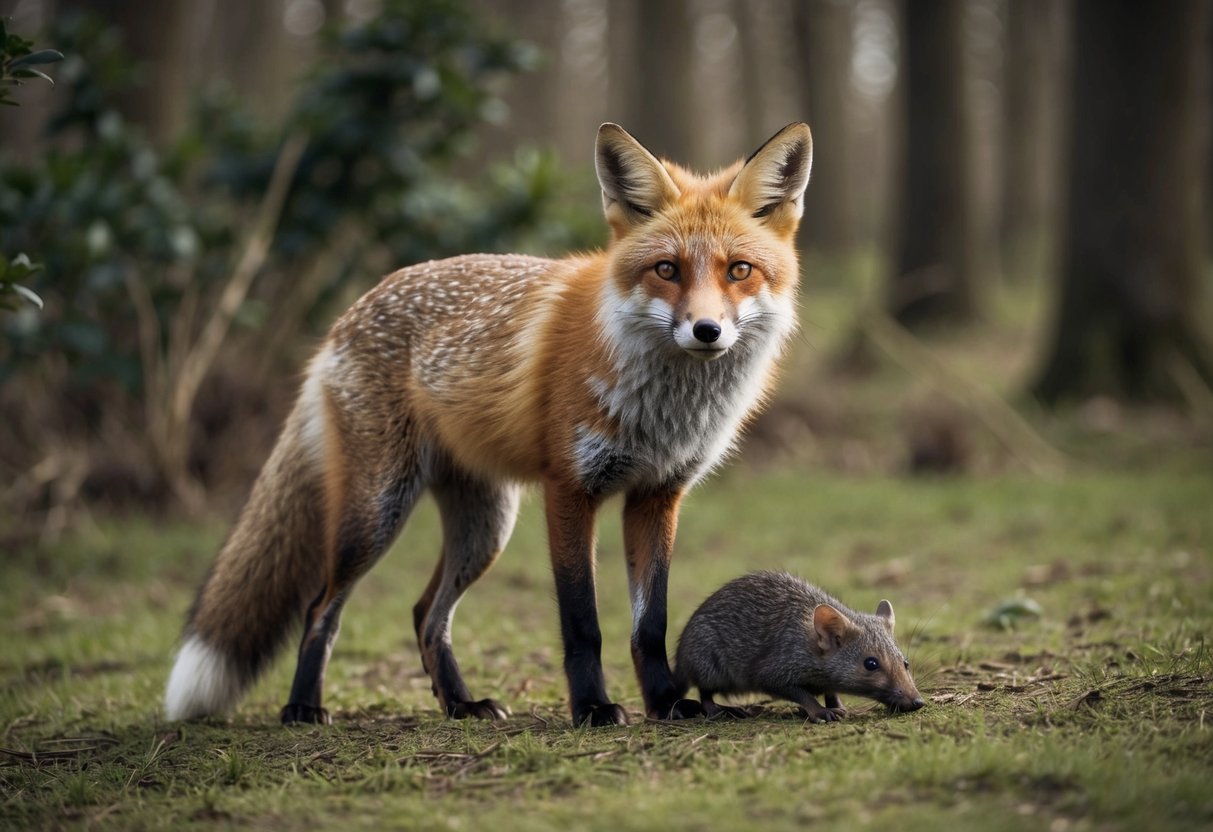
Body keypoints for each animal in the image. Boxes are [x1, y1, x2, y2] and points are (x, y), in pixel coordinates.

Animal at [164, 121, 813, 727]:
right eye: (667, 270)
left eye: (739, 270)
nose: (707, 331)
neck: (665, 408)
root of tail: (350, 312)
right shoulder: (569, 488)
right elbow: (583, 624)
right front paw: (593, 709)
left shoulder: (656, 496)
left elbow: (649, 626)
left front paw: (666, 703)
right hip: (376, 513)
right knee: (321, 607)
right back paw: (302, 707)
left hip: (485, 527)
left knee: (426, 614)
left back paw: (460, 703)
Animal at [674, 571, 925, 721]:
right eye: (871, 664)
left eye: (906, 663)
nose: (918, 702)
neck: (810, 642)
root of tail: (680, 659)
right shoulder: (773, 674)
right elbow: (804, 696)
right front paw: (821, 712)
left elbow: (830, 690)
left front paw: (838, 706)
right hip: (709, 665)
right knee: (705, 693)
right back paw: (719, 709)